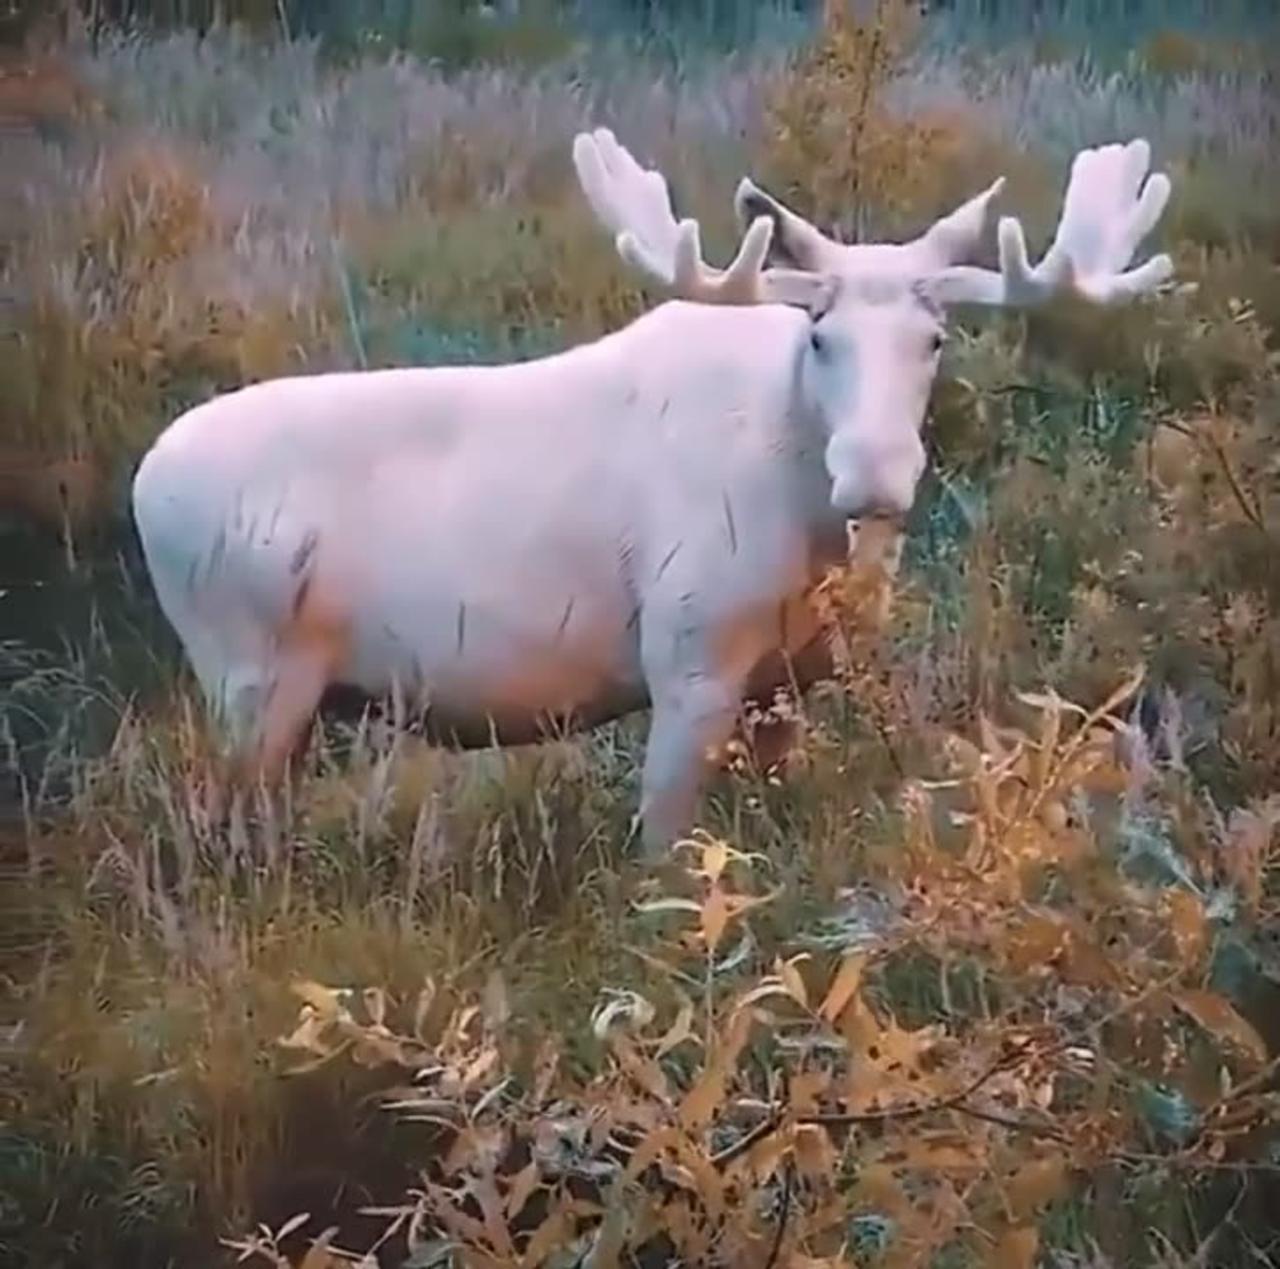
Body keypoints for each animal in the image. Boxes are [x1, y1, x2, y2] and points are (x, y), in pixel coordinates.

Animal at [129, 126, 1173, 855]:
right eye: (821, 336)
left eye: (935, 339)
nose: (874, 472)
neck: (810, 529)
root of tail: (141, 483)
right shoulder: (688, 658)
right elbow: (663, 856)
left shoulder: (786, 685)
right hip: (248, 671)